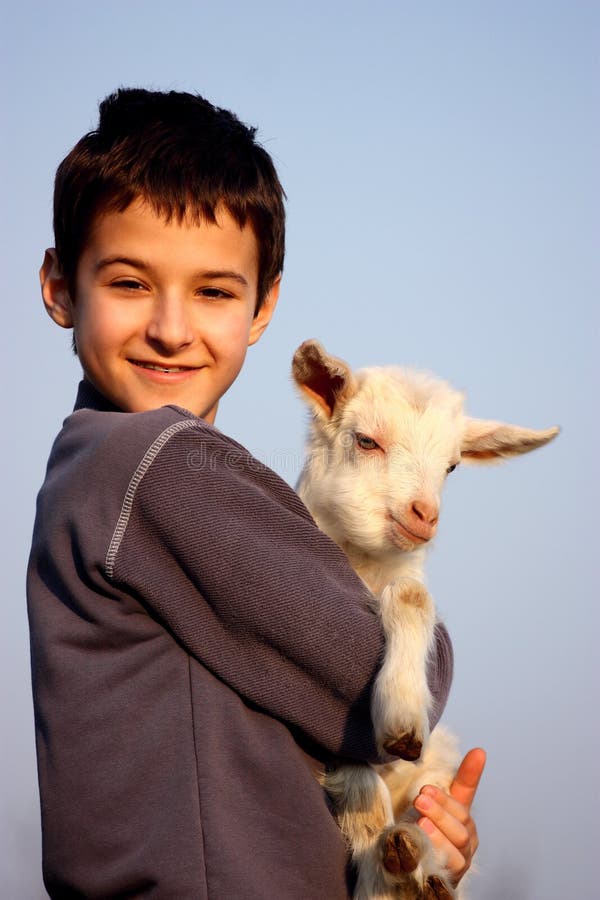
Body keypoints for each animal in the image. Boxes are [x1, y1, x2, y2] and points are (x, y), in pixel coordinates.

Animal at [292, 339, 559, 900]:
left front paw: (403, 716)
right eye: (366, 440)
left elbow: (412, 594)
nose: (424, 515)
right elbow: (356, 775)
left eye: (453, 466)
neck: (364, 563)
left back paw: (416, 869)